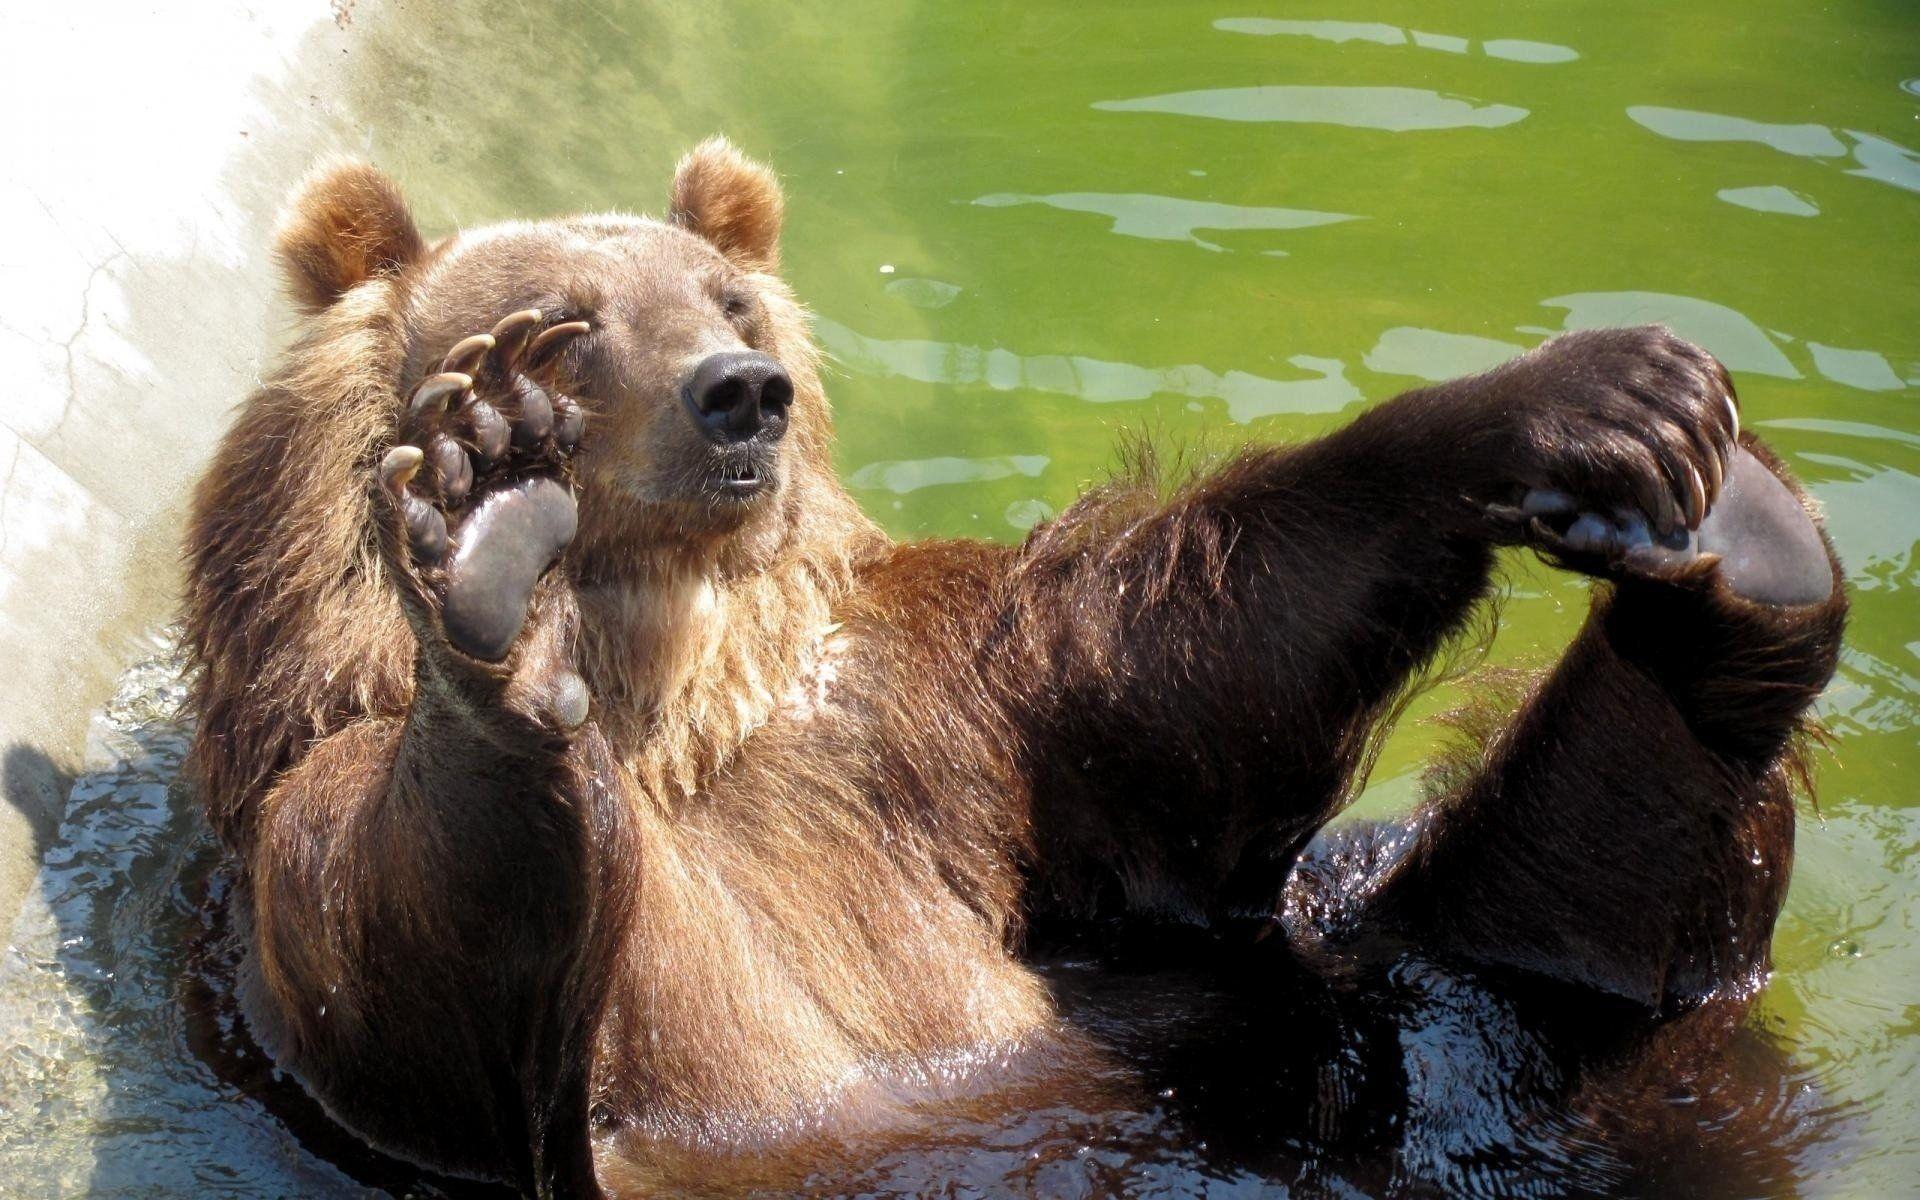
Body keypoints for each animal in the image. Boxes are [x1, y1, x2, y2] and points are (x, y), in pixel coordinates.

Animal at [181, 138, 1846, 1198]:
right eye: (571, 326)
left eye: (726, 300)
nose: (740, 392)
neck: (679, 696)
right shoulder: (323, 837)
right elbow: (418, 949)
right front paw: (488, 534)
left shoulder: (932, 722)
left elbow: (1169, 681)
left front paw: (1582, 395)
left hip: (1361, 989)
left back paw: (1742, 552)